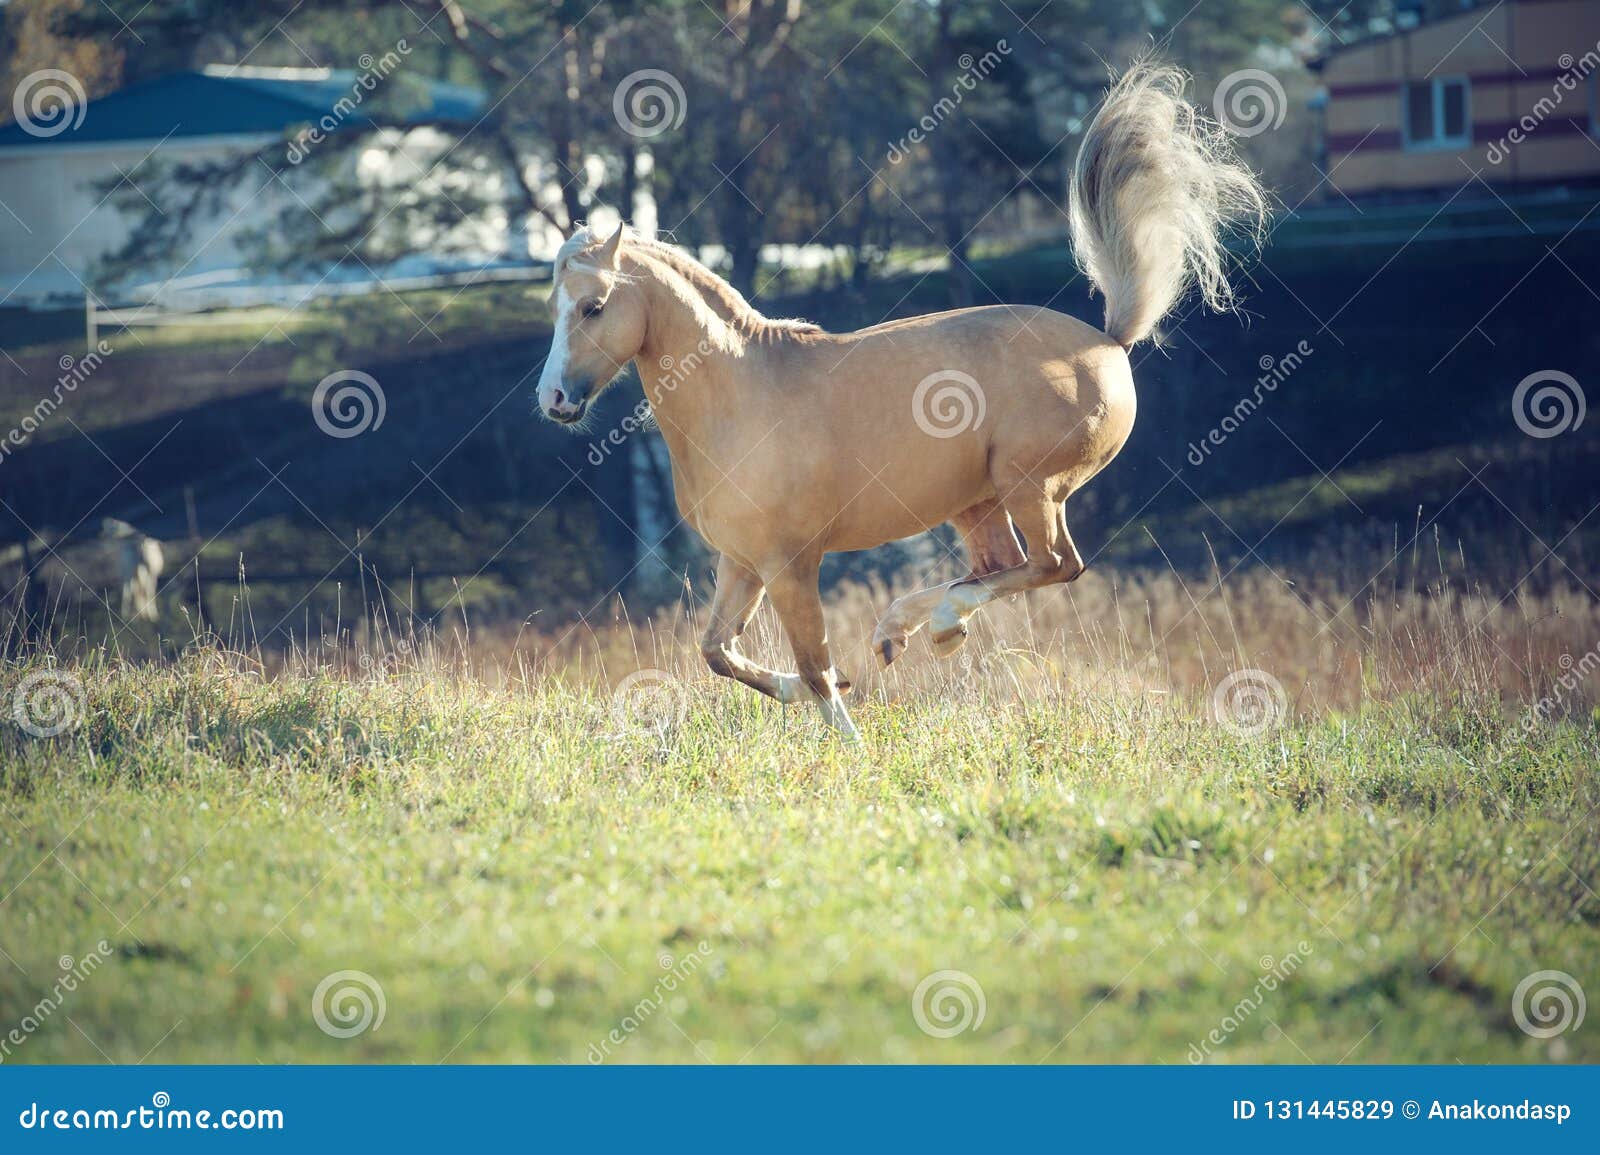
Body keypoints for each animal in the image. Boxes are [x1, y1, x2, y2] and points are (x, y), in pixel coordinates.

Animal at [536, 62, 1267, 738]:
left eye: (594, 307)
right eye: (555, 306)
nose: (554, 400)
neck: (738, 398)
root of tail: (1110, 338)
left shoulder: (791, 565)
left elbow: (812, 664)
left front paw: (848, 739)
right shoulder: (742, 562)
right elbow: (719, 652)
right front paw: (821, 690)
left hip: (1031, 485)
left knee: (1055, 564)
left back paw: (921, 627)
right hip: (977, 503)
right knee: (1001, 568)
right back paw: (919, 631)